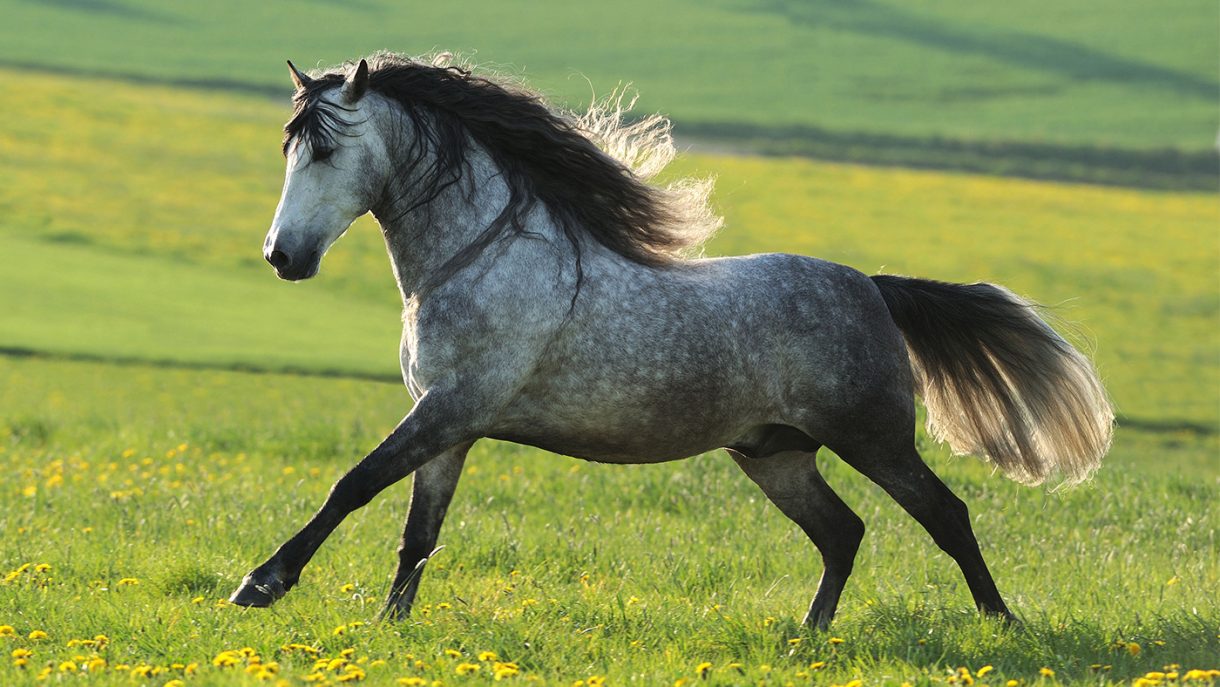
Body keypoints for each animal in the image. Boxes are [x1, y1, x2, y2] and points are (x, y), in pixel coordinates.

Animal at [230, 53, 1114, 629]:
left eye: (327, 147)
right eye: (288, 147)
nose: (283, 256)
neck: (478, 257)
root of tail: (871, 286)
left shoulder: (451, 409)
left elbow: (352, 484)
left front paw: (262, 581)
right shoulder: (450, 426)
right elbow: (417, 532)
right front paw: (390, 625)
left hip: (873, 438)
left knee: (945, 515)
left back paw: (1002, 623)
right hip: (774, 453)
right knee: (844, 532)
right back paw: (808, 635)